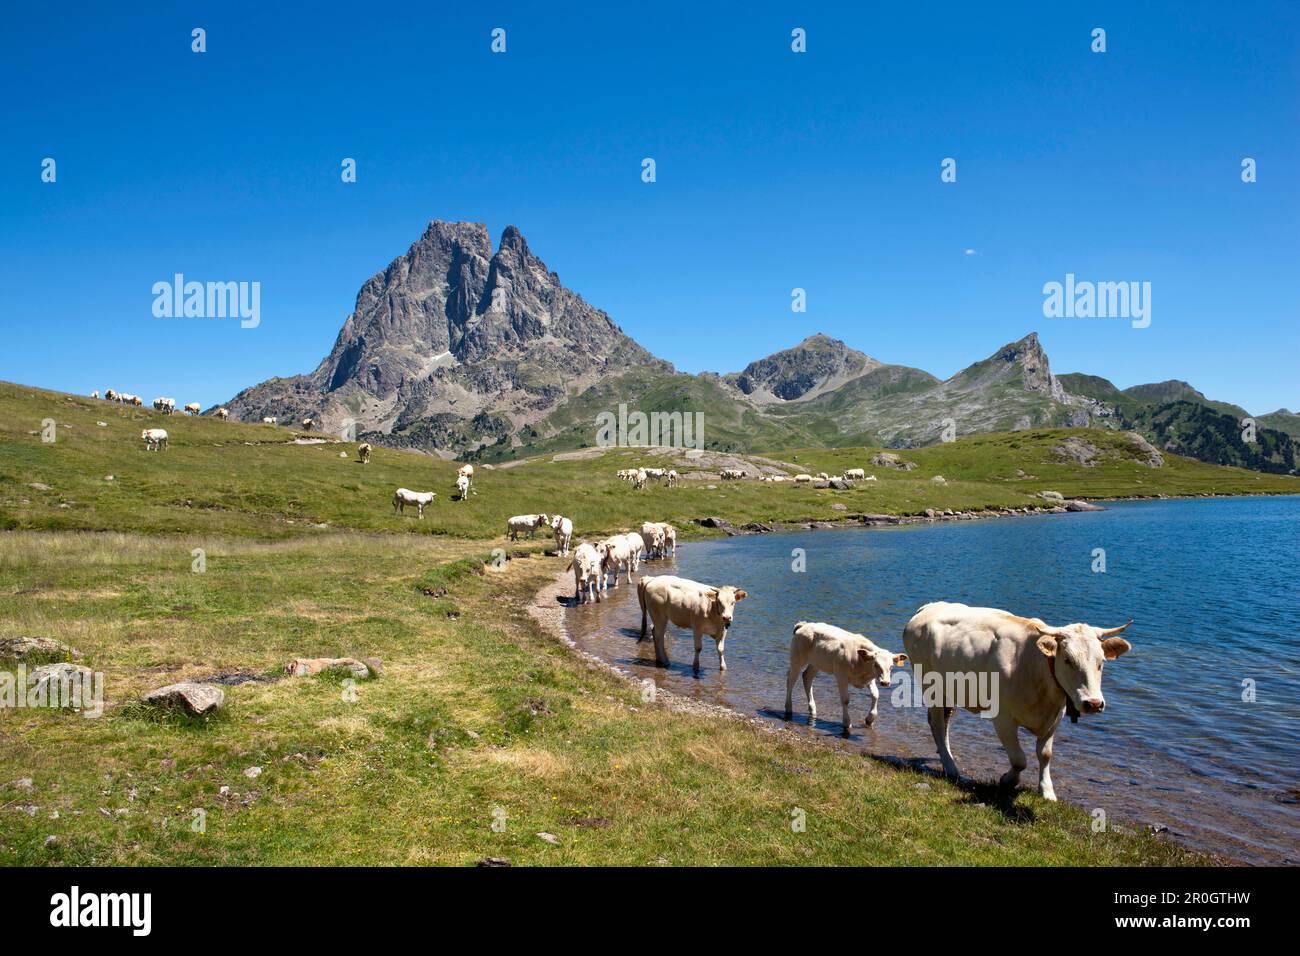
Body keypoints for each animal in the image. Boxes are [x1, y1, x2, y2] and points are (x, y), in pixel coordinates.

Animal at [901, 601, 1133, 801]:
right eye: (1067, 659)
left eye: (1101, 661)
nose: (1093, 703)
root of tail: (929, 607)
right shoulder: (1003, 718)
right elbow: (1019, 759)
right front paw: (1007, 780)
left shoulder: (1054, 718)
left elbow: (1045, 754)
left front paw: (1047, 791)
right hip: (930, 684)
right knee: (938, 723)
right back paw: (951, 768)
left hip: (949, 689)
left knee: (946, 718)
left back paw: (948, 758)